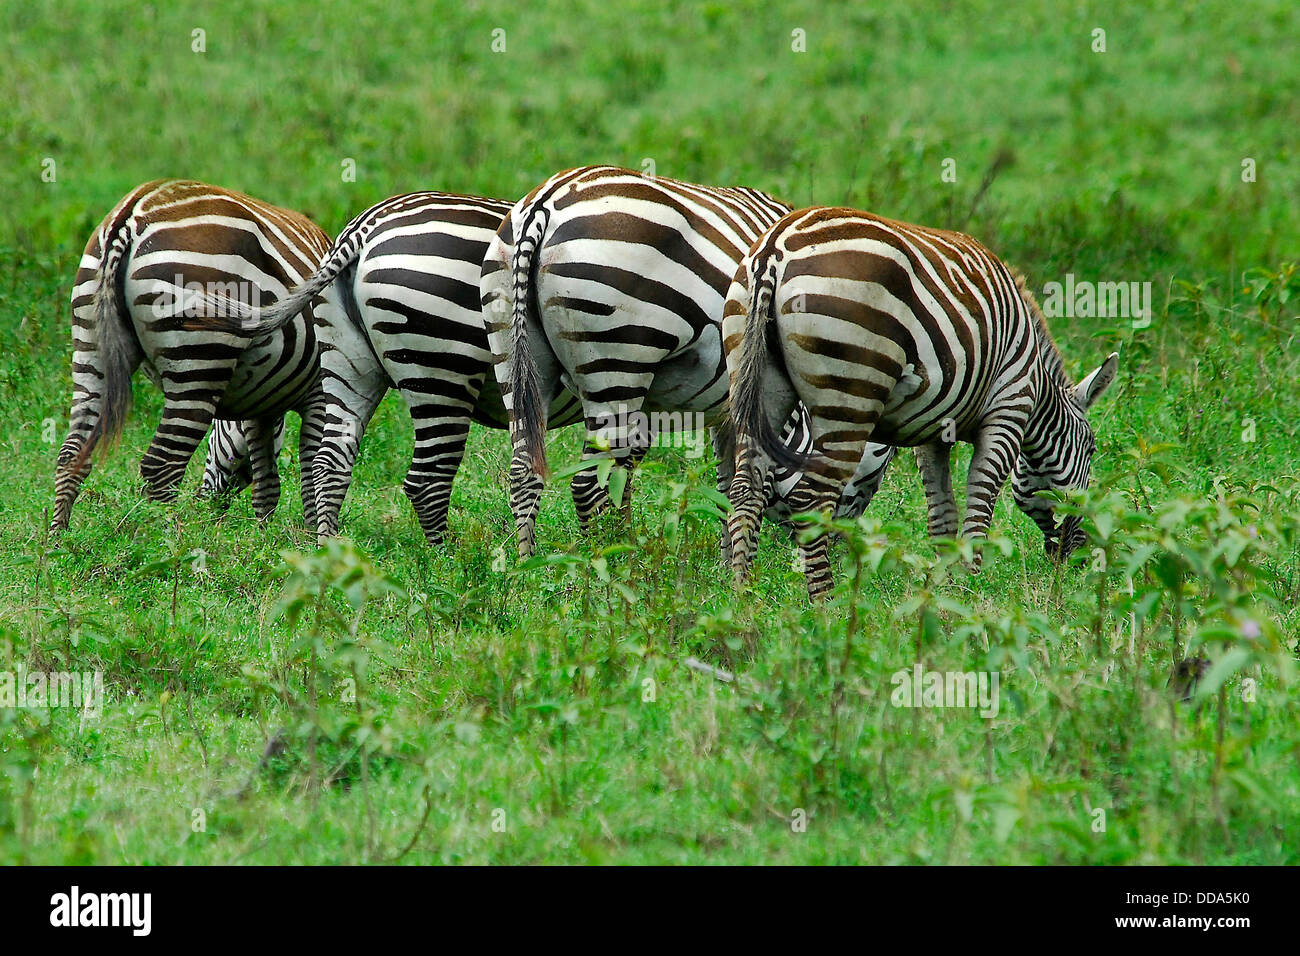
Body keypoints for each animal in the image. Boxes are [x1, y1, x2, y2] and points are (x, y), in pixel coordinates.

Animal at [50, 180, 331, 532]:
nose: (208, 505)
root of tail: (130, 216)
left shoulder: (262, 408)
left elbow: (267, 483)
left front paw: (267, 536)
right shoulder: (320, 393)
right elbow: (314, 473)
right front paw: (314, 538)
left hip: (90, 346)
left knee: (72, 454)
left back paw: (59, 540)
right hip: (200, 359)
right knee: (162, 467)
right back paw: (171, 540)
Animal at [480, 165, 905, 559]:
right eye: (874, 477)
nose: (839, 546)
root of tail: (545, 202)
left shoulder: (726, 412)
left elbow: (723, 489)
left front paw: (722, 571)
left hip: (513, 351)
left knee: (525, 471)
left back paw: (528, 570)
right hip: (618, 358)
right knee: (590, 484)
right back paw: (611, 568)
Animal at [725, 206, 1119, 600]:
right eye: (1092, 449)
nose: (1080, 558)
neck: (1036, 386)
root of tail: (775, 250)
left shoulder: (933, 428)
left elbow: (943, 514)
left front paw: (945, 591)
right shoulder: (1007, 412)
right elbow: (980, 499)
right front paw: (971, 587)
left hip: (757, 377)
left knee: (746, 488)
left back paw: (743, 595)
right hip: (851, 393)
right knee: (813, 499)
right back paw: (826, 603)